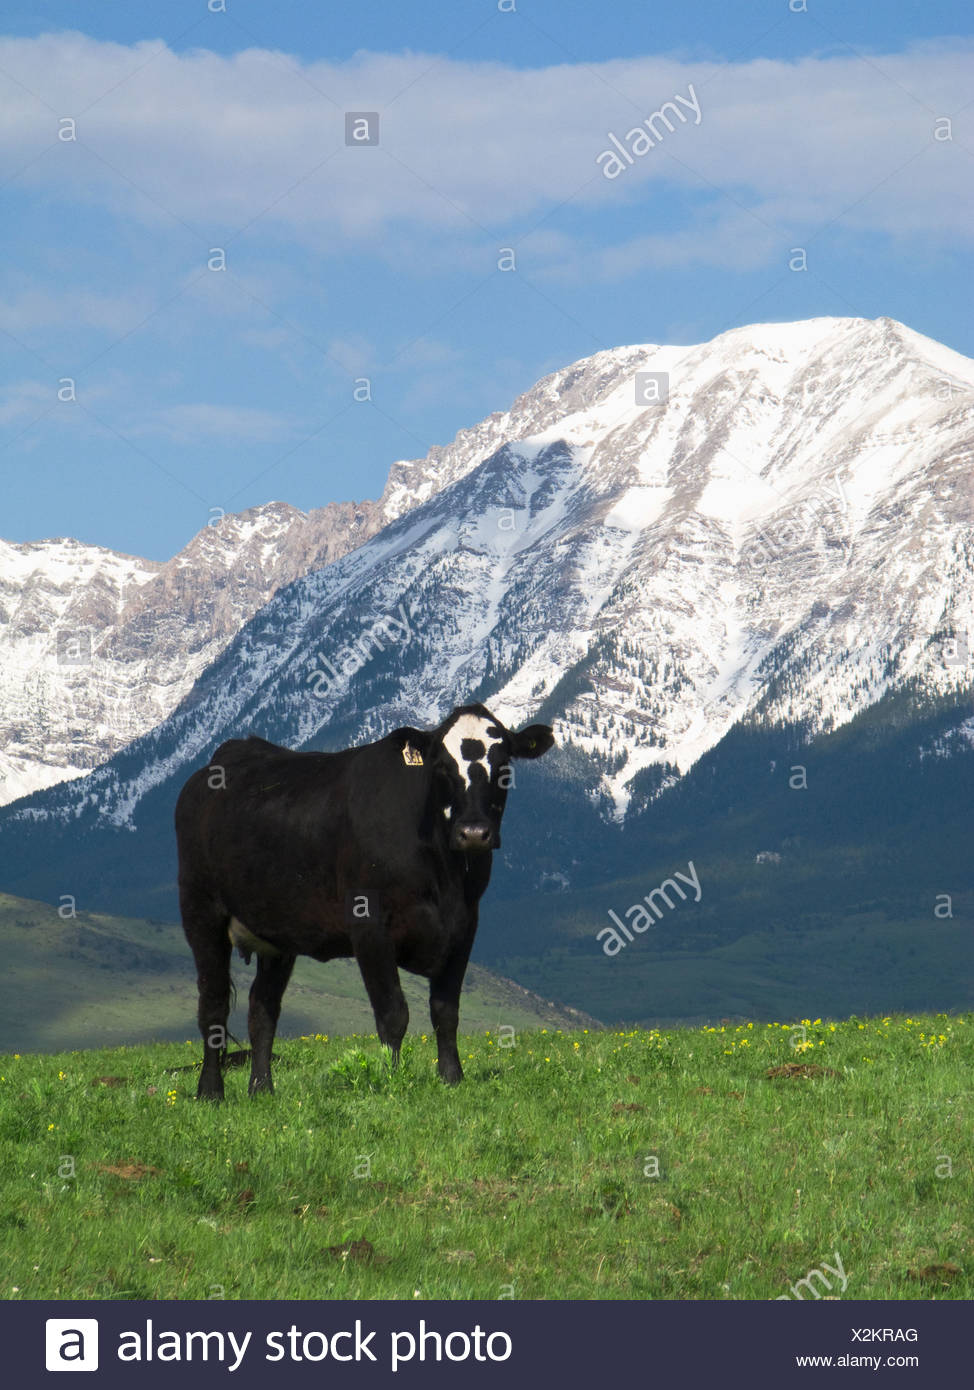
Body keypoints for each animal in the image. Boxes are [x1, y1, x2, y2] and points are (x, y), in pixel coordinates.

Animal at [174, 702, 554, 1100]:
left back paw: (262, 1089)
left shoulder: (465, 924)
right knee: (213, 1005)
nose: (474, 833)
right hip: (201, 910)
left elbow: (445, 1010)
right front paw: (392, 1082)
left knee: (262, 1008)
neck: (443, 876)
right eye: (441, 765)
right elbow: (393, 1014)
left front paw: (452, 1077)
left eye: (504, 764)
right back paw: (210, 1092)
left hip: (276, 932)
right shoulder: (370, 925)